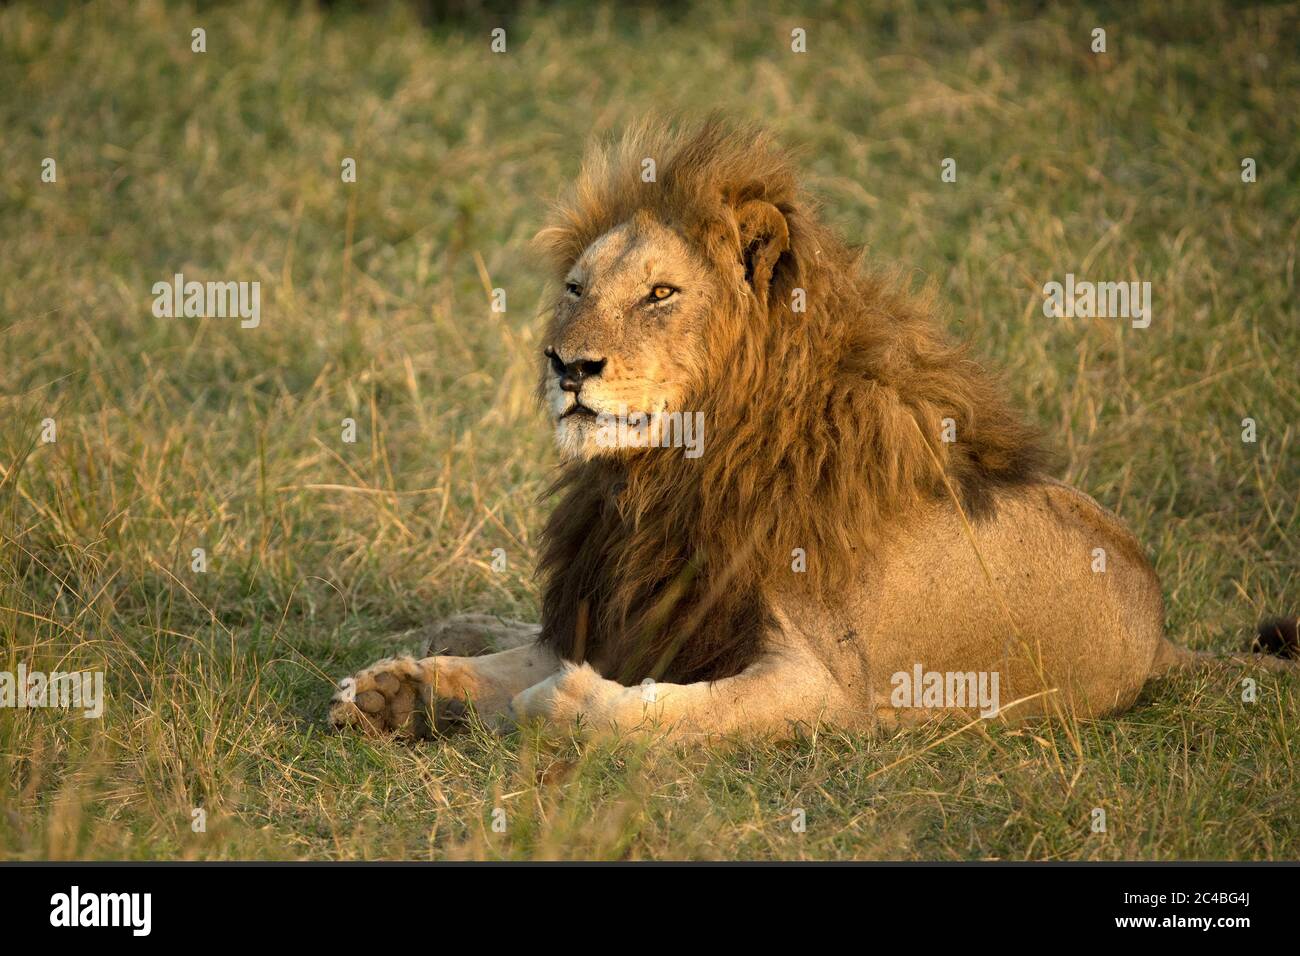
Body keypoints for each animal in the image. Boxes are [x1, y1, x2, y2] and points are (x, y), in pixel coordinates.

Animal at [329, 117, 1298, 741]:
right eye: (577, 287)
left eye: (660, 293)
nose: (567, 365)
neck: (669, 474)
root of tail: (1161, 633)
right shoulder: (637, 612)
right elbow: (514, 663)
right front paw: (397, 693)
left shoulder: (827, 684)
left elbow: (669, 714)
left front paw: (566, 708)